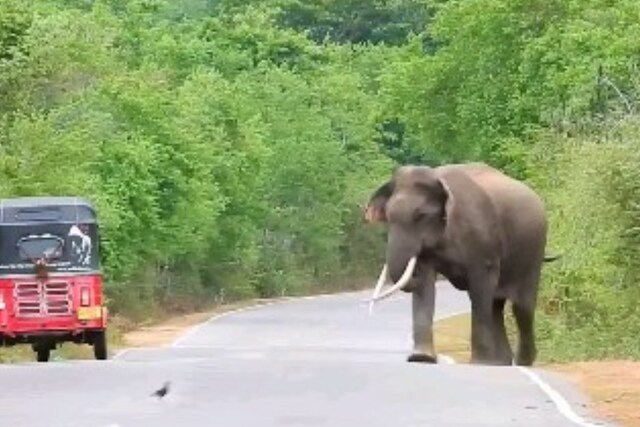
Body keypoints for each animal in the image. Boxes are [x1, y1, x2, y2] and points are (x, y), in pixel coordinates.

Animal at [363, 162, 559, 366]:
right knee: (496, 305)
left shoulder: (482, 243)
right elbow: (425, 284)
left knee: (521, 307)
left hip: (533, 252)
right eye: (388, 217)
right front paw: (421, 358)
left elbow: (480, 287)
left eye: (421, 216)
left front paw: (479, 363)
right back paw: (500, 362)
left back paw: (521, 362)